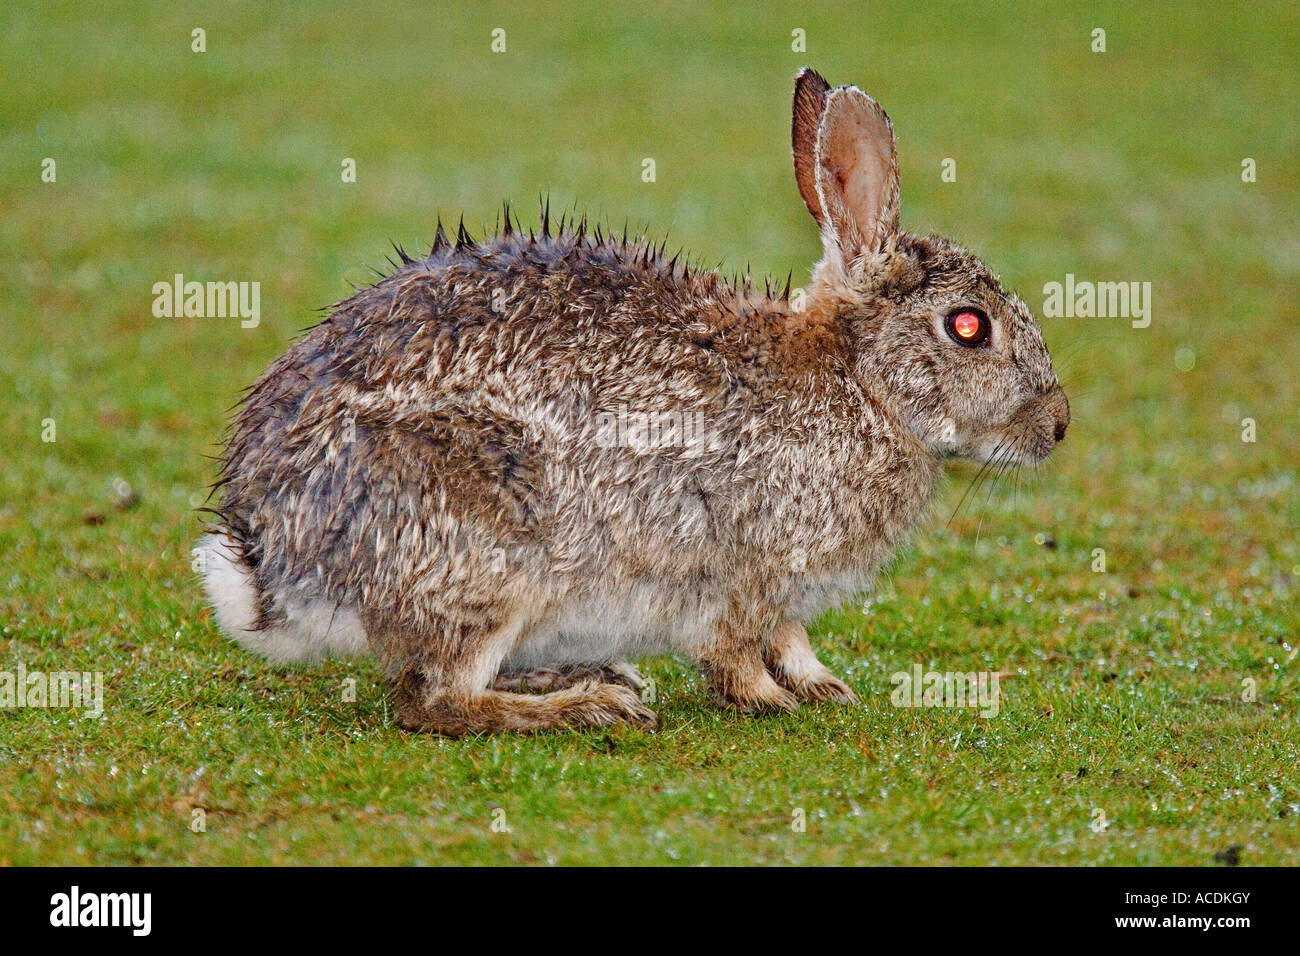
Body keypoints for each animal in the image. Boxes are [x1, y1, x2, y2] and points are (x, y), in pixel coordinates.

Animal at [197, 67, 1069, 736]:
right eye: (969, 326)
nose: (1057, 426)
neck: (860, 381)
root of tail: (274, 563)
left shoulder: (784, 591)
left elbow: (791, 636)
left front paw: (823, 685)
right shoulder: (738, 566)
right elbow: (735, 647)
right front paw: (767, 699)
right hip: (486, 543)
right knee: (434, 699)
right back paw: (584, 707)